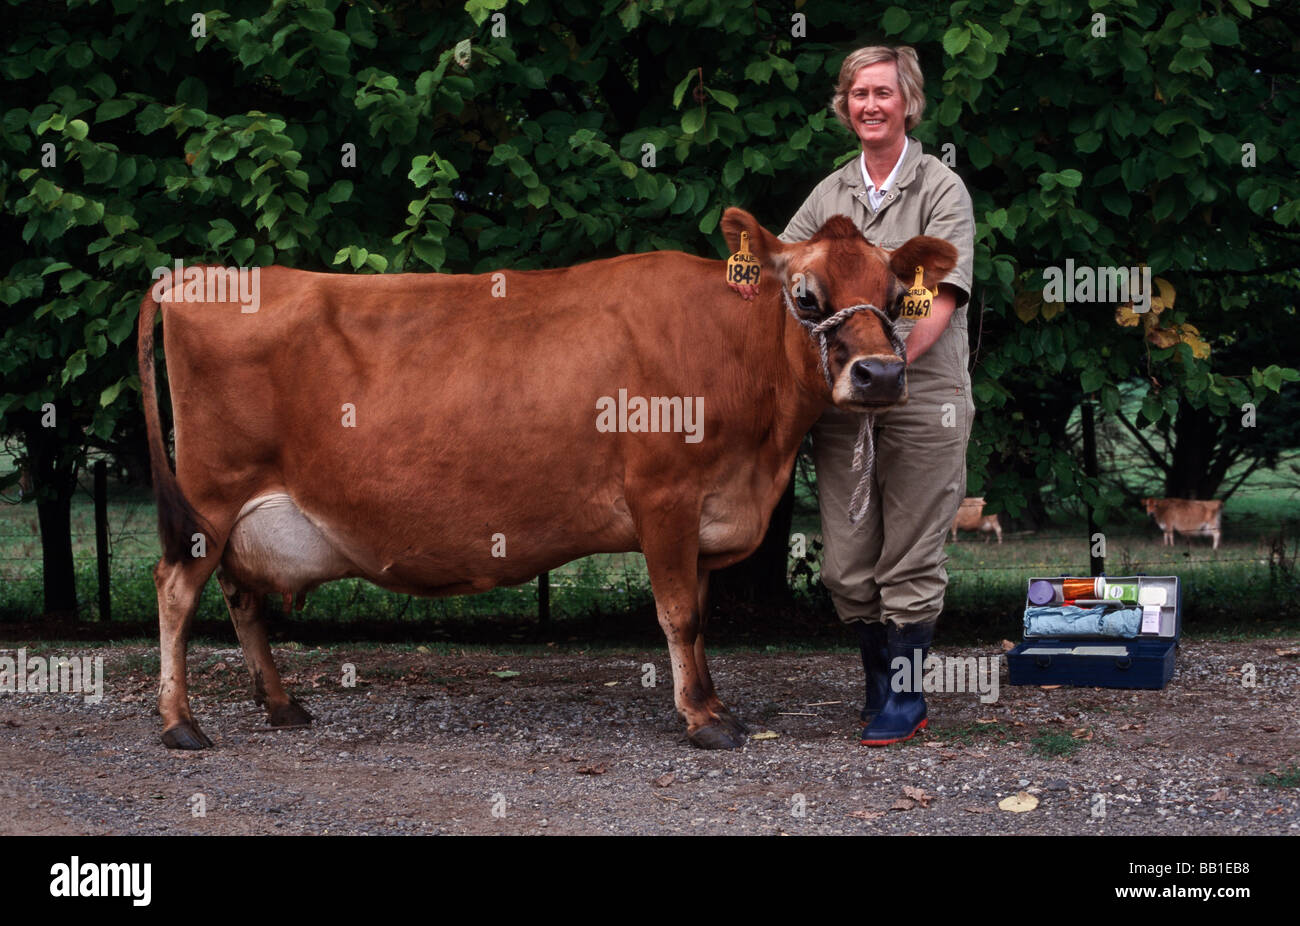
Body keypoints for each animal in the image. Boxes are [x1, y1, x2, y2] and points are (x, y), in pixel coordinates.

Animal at [138, 208, 957, 751]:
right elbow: (679, 615)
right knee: (177, 587)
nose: (880, 375)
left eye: (895, 299)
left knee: (241, 594)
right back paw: (181, 724)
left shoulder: (706, 510)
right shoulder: (664, 495)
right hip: (211, 496)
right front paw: (703, 719)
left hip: (245, 512)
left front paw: (711, 700)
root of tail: (197, 279)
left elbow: (699, 615)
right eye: (807, 295)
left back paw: (281, 705)